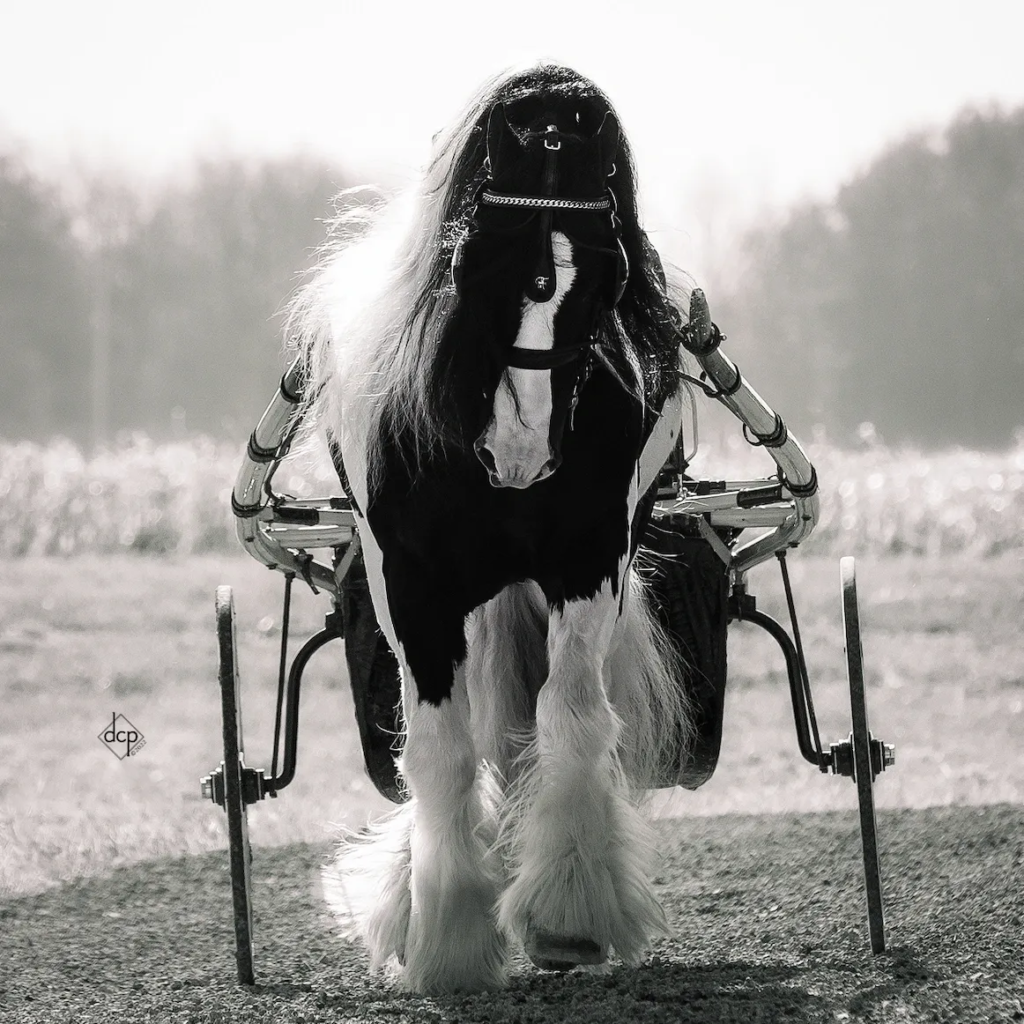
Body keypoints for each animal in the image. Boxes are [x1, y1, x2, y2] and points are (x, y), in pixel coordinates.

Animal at [290, 63, 697, 994]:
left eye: (605, 266)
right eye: (481, 255)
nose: (520, 452)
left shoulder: (587, 563)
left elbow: (569, 716)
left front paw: (567, 914)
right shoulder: (414, 589)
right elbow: (440, 748)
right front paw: (444, 933)